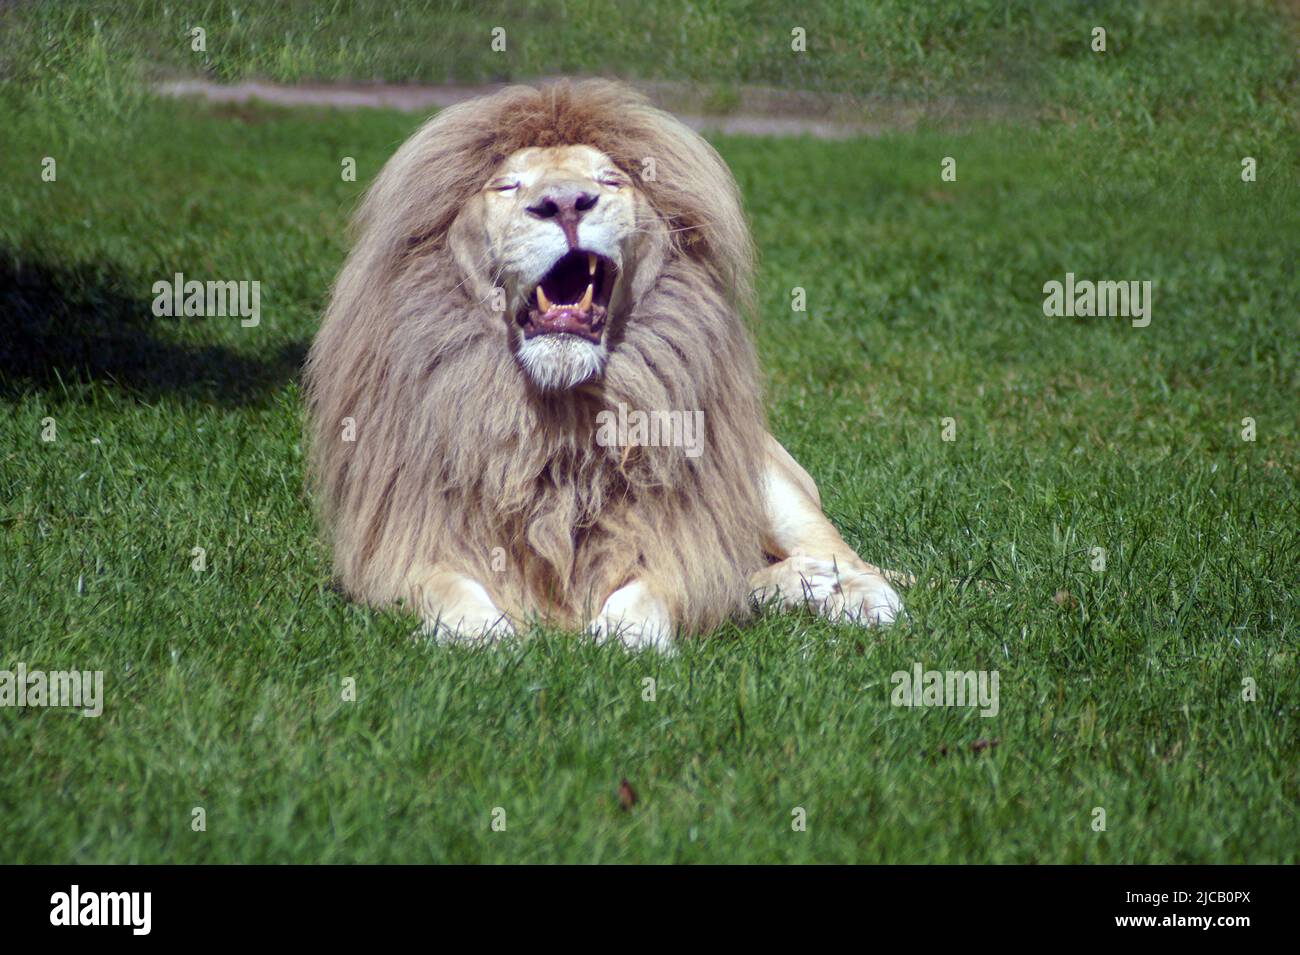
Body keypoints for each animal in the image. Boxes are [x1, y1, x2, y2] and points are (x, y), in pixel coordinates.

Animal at [304, 79, 904, 651]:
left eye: (610, 181)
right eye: (507, 186)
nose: (567, 203)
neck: (559, 411)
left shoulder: (668, 536)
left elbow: (654, 588)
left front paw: (625, 637)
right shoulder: (403, 540)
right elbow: (446, 585)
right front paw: (482, 634)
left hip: (775, 488)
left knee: (843, 556)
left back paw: (857, 596)